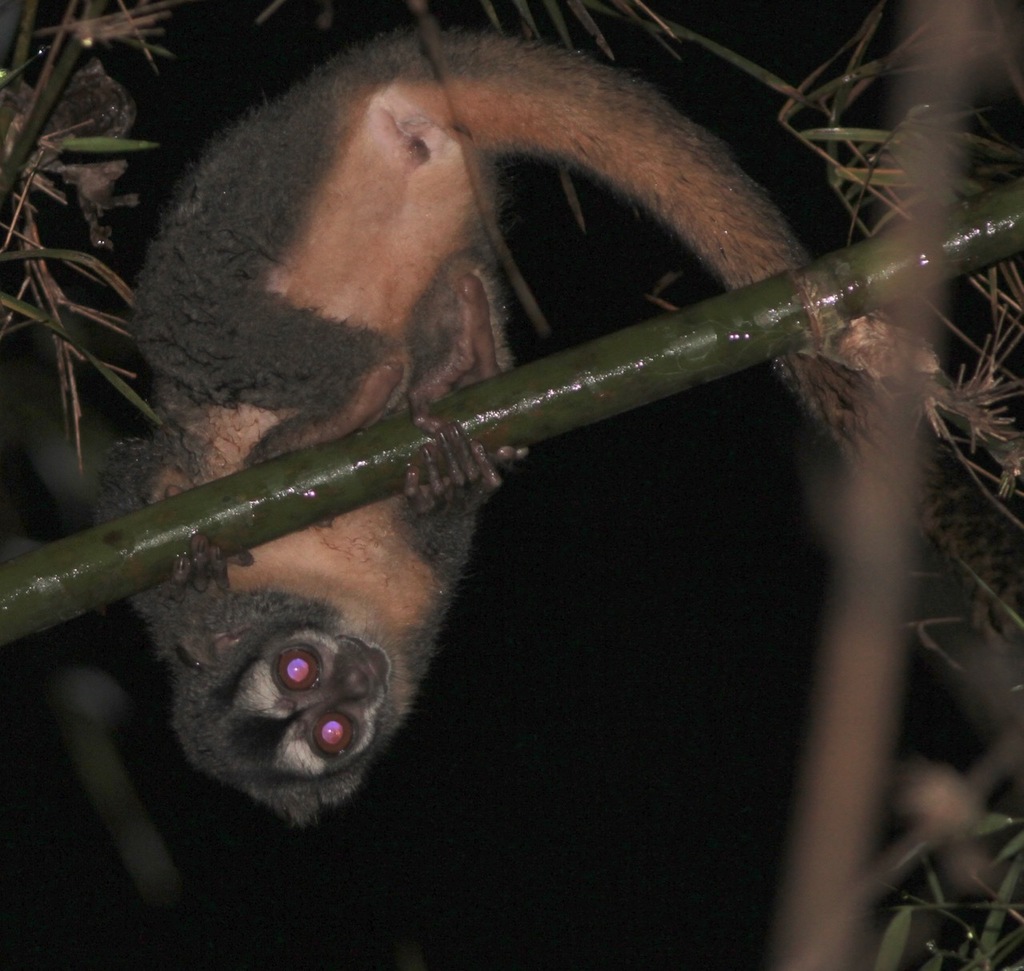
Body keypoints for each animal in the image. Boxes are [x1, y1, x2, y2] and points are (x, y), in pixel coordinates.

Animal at [97, 28, 862, 826]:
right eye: (332, 729)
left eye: (299, 671)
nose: (357, 681)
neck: (318, 585)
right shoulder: (415, 610)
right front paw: (449, 478)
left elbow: (130, 488)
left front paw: (192, 570)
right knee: (455, 279)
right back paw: (465, 353)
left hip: (253, 190)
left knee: (193, 323)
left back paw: (356, 393)